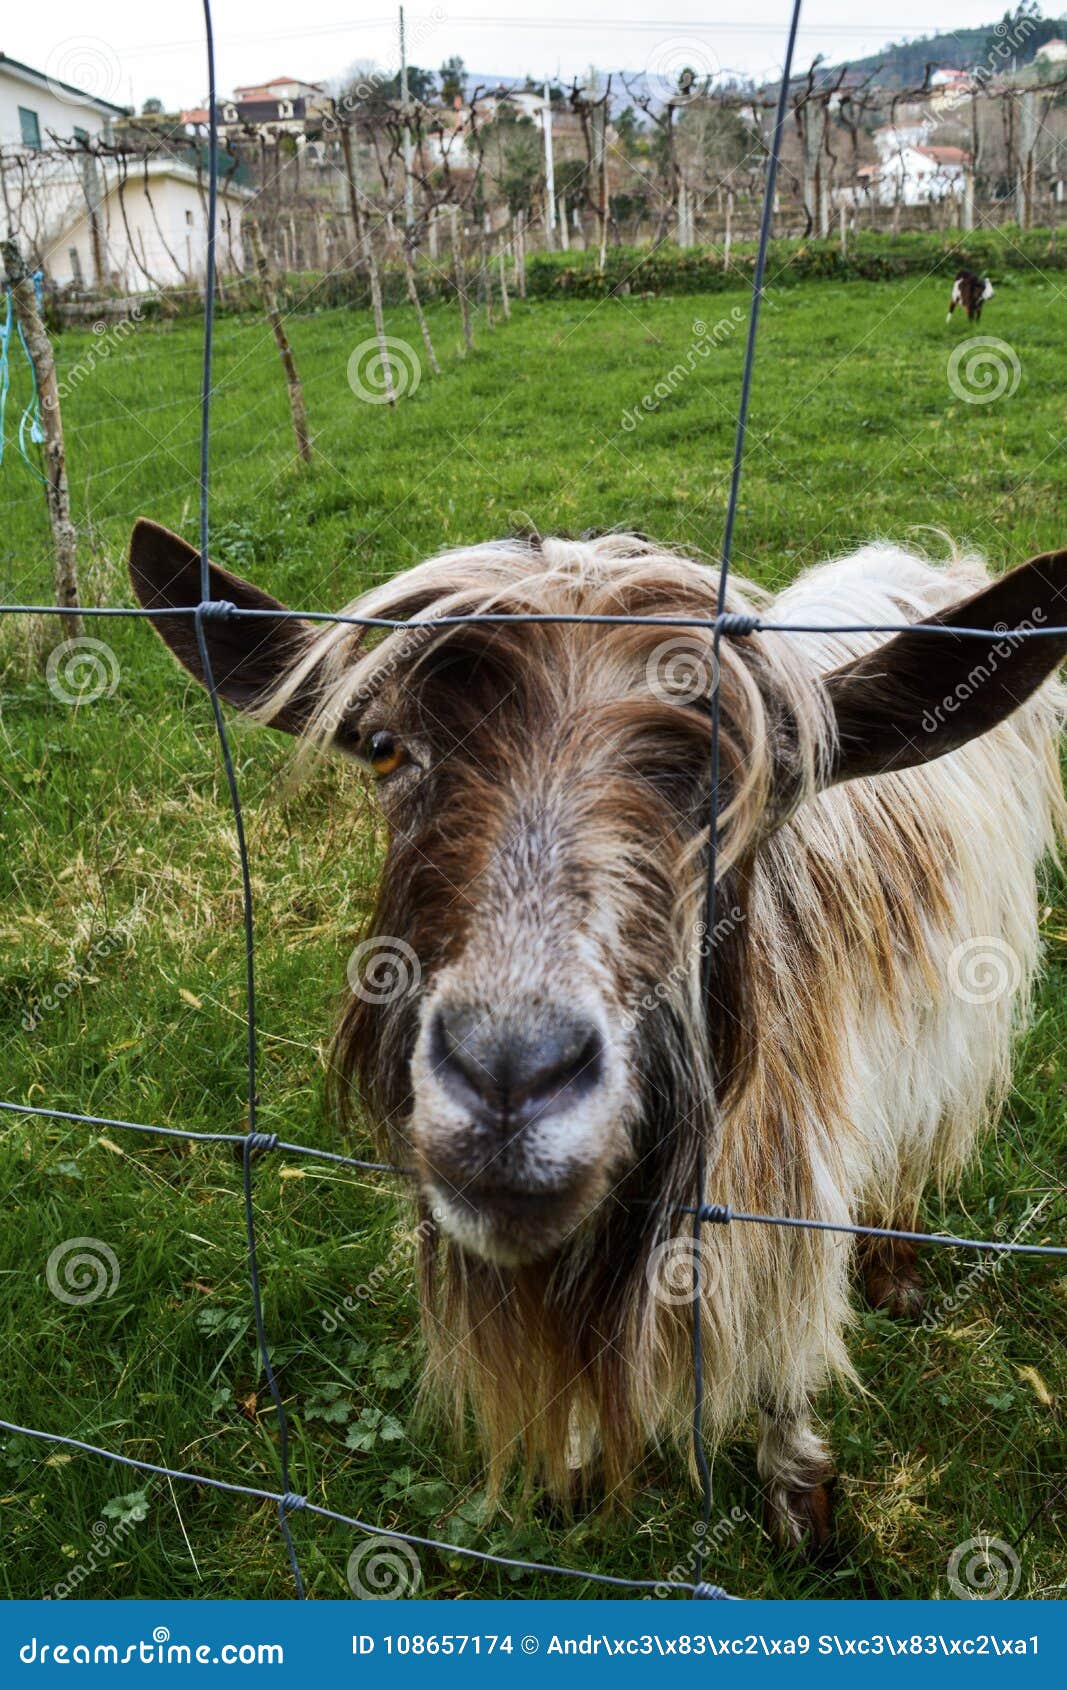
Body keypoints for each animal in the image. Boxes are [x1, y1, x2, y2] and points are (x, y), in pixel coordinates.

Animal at [130, 518, 1067, 1549]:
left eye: (748, 783)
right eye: (382, 748)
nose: (509, 1083)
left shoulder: (793, 1192)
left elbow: (787, 1355)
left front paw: (798, 1489)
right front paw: (573, 1472)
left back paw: (895, 1266)